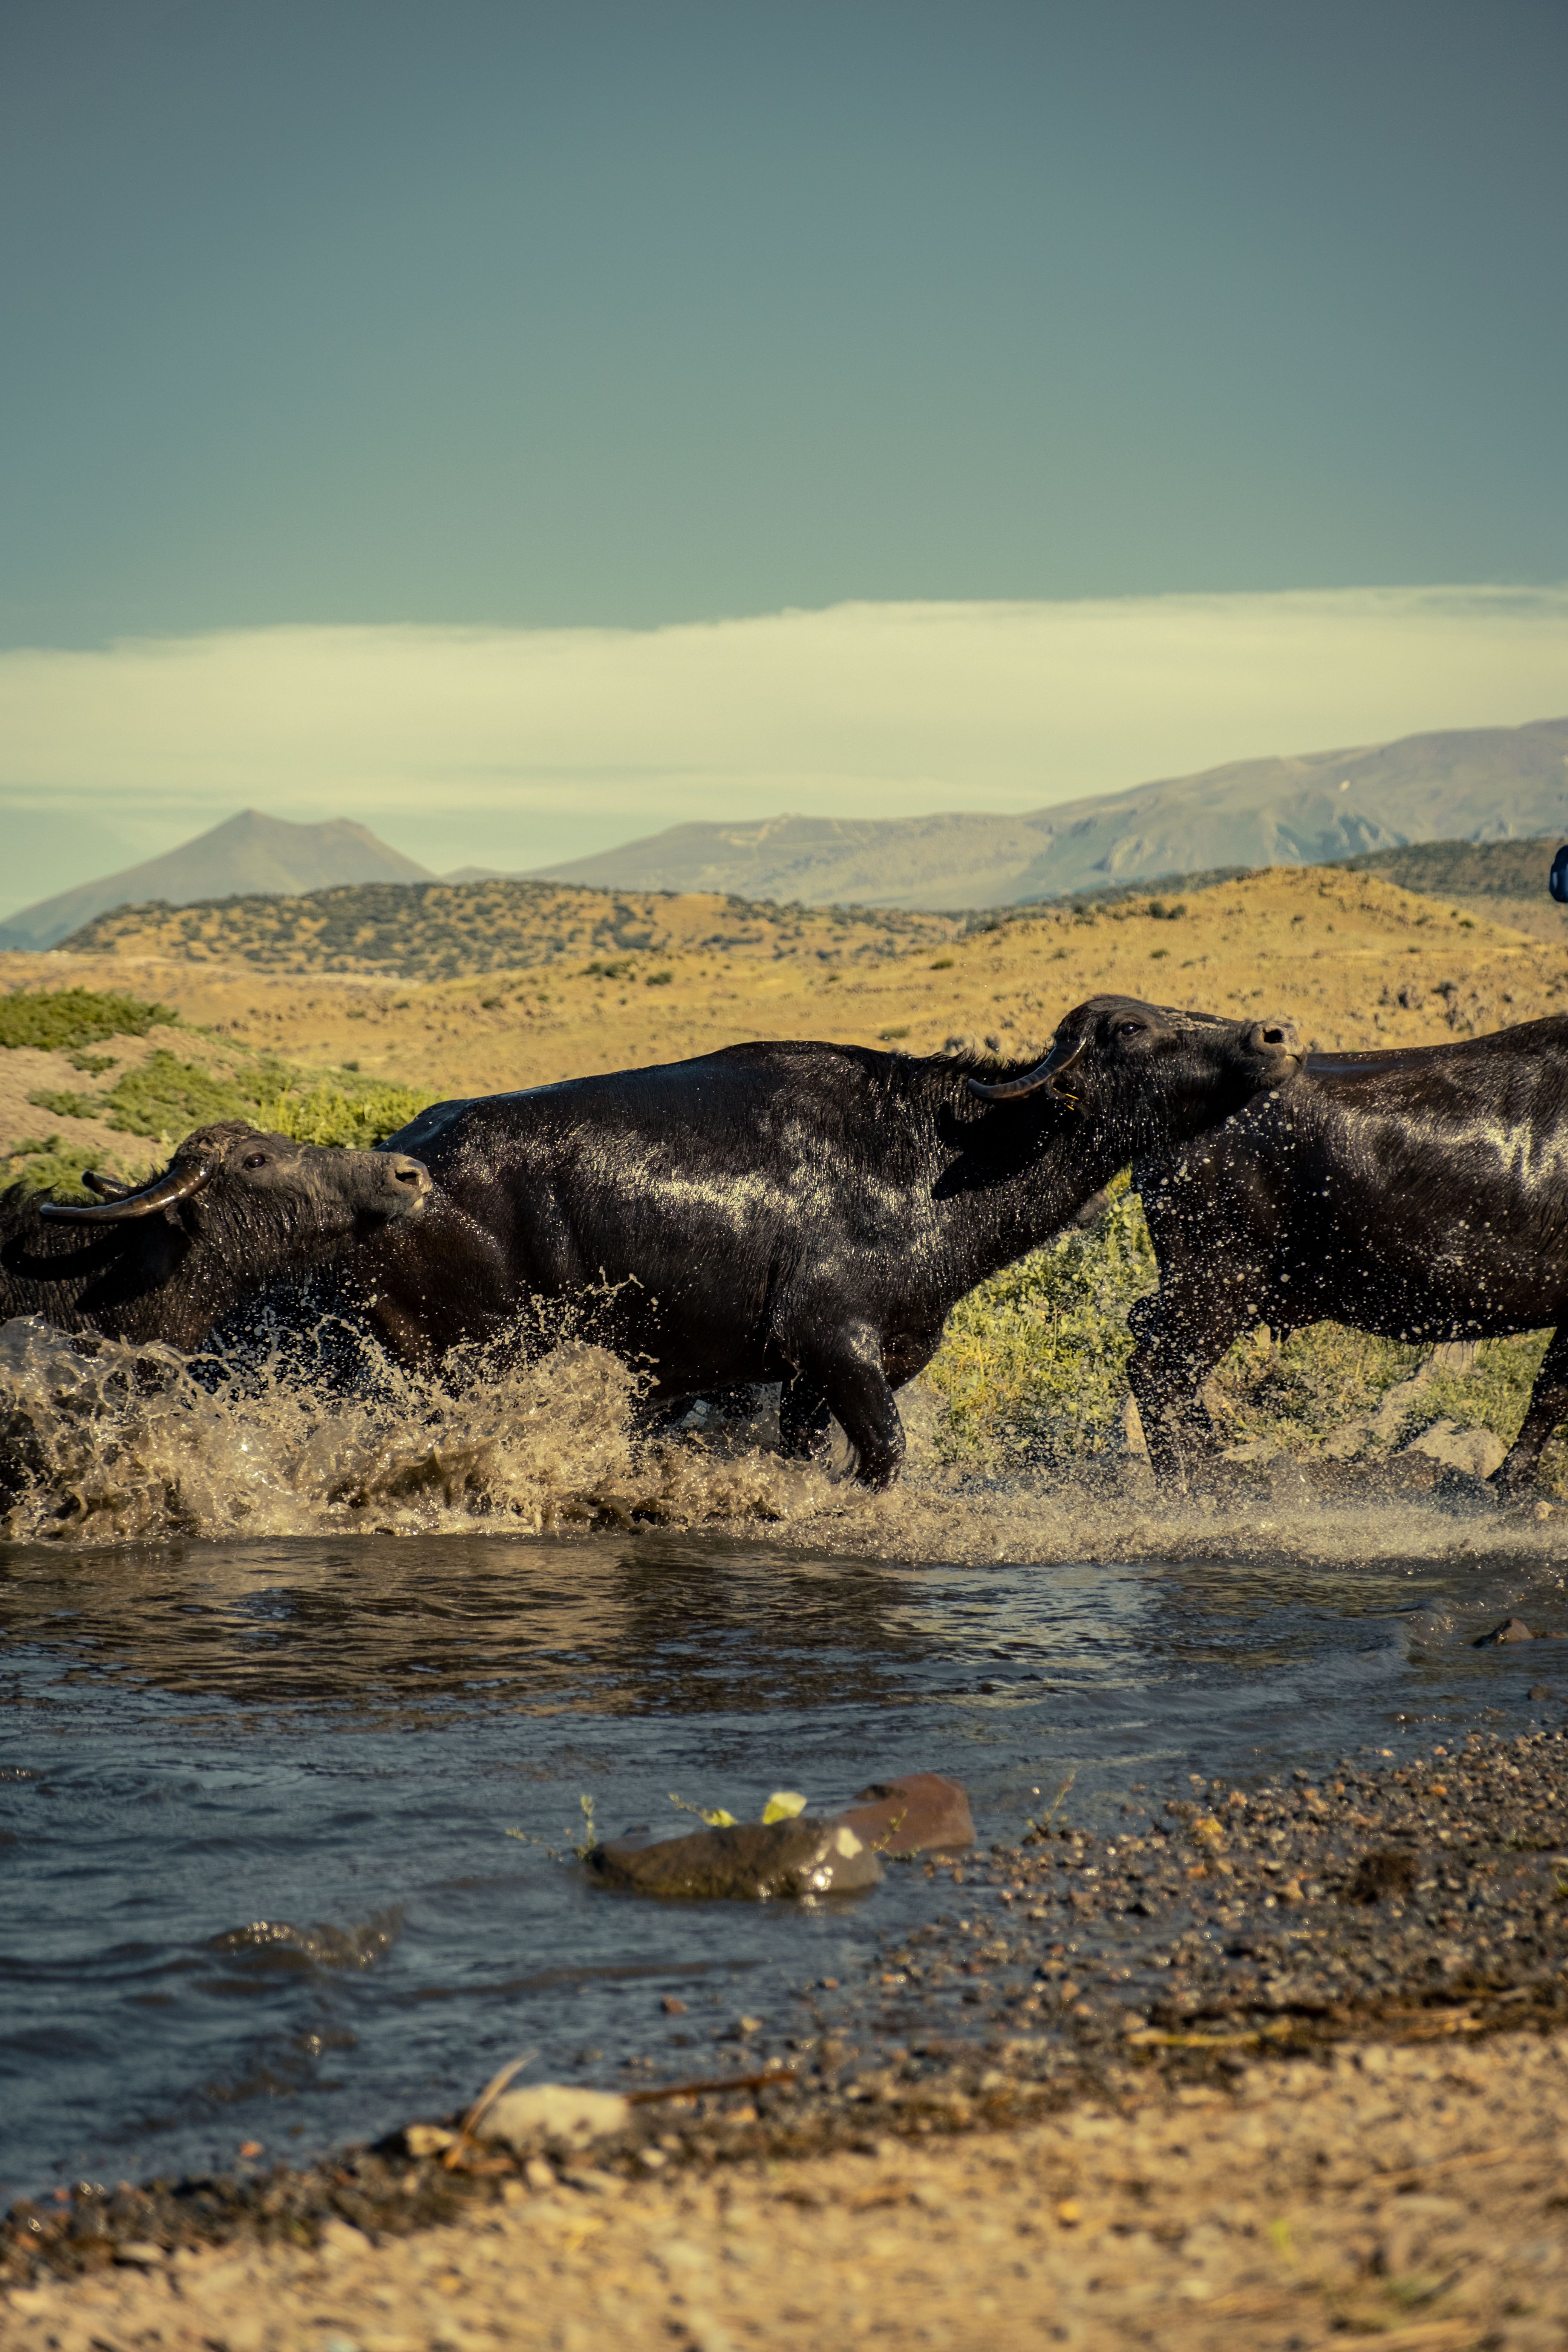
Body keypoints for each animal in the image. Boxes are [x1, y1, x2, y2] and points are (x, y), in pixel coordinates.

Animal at [321, 997, 1303, 1487]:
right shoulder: (836, 1347)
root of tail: (399, 1161)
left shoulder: (818, 1376)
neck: (930, 1164)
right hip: (465, 1362)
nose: (1275, 1035)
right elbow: (885, 1459)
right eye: (1133, 1028)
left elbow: (802, 1454)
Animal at [1127, 1015, 1568, 1493]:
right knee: (1156, 1371)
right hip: (1218, 1283)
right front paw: (1510, 1483)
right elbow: (1550, 1396)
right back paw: (1183, 1489)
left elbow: (1549, 1392)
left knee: (1155, 1346)